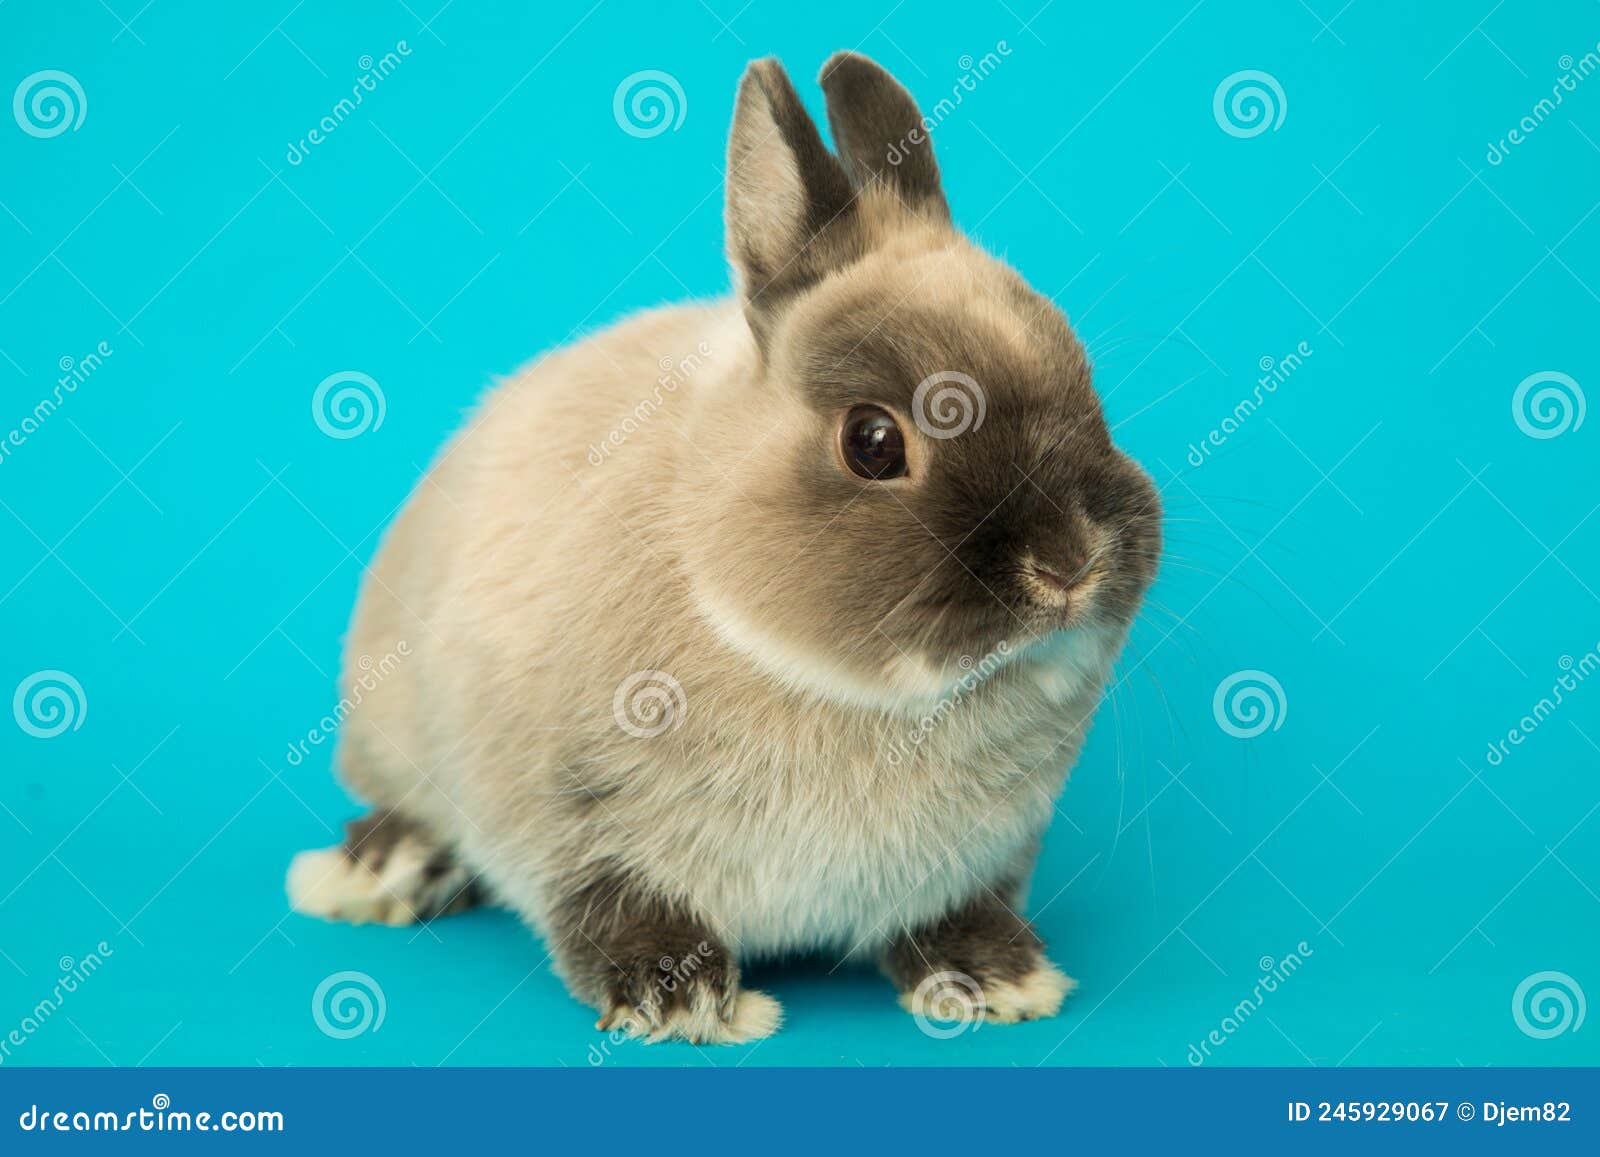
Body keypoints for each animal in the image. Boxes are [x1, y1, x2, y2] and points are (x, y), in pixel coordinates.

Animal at [286, 51, 1161, 1045]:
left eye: (1084, 381)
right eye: (873, 442)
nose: (1072, 564)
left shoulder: (986, 855)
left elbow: (949, 915)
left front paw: (998, 975)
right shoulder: (576, 827)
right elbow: (609, 909)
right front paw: (683, 1001)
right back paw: (376, 870)